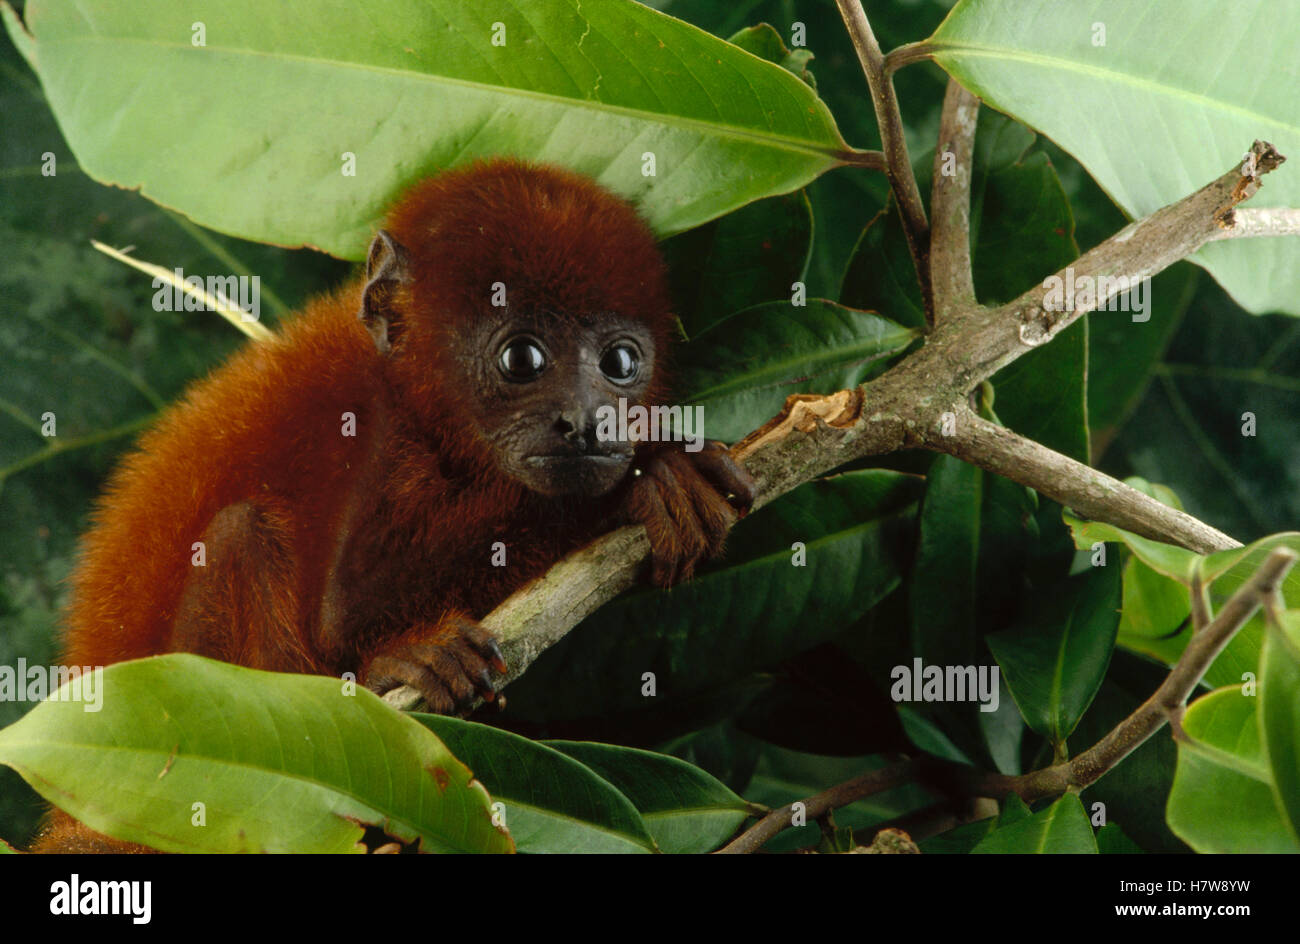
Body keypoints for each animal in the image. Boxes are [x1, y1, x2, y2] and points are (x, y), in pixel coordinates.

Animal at [29, 158, 756, 852]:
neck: (416, 400)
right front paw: (649, 477)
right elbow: (346, 607)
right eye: (523, 358)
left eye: (621, 362)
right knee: (241, 535)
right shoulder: (371, 432)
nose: (589, 423)